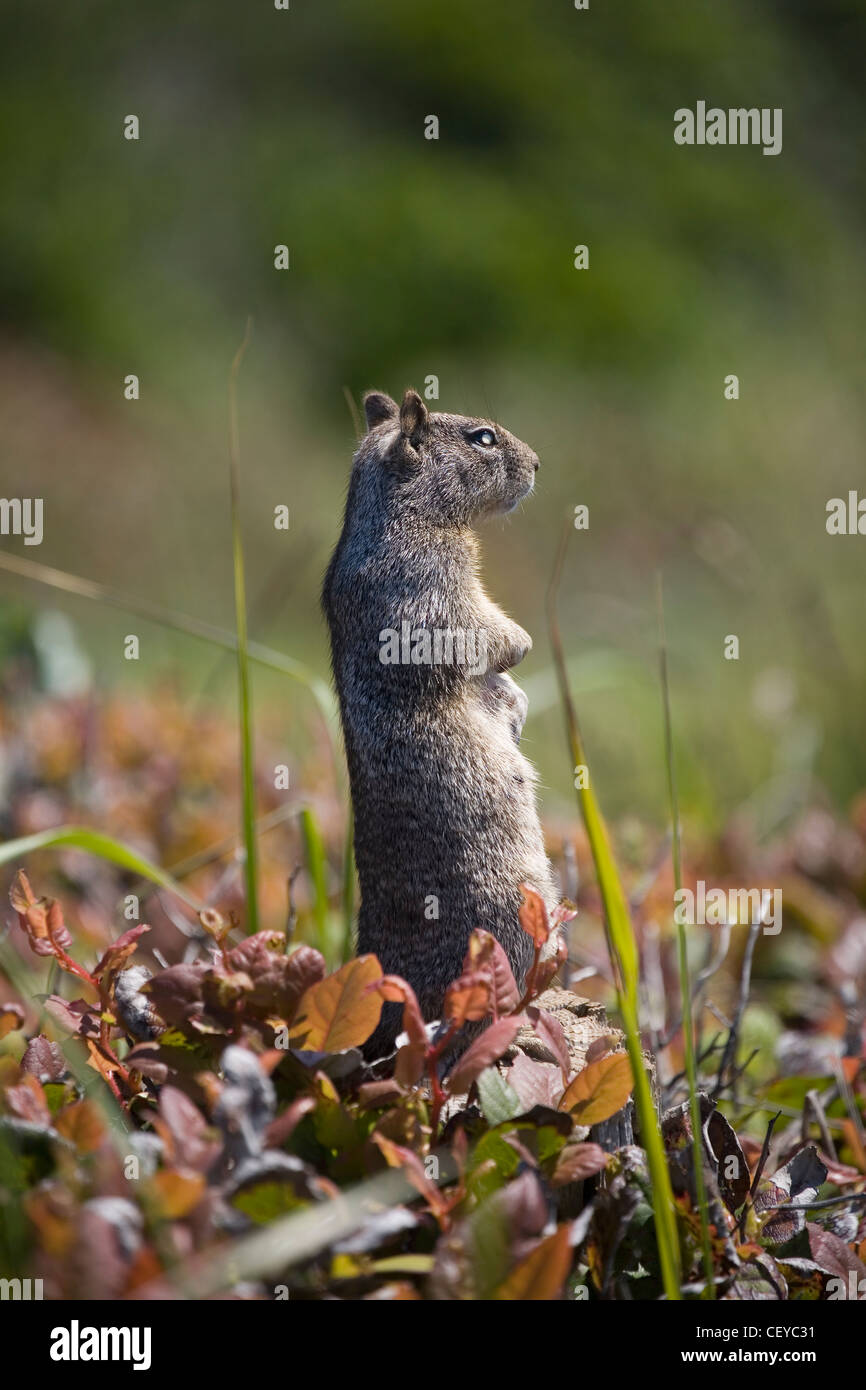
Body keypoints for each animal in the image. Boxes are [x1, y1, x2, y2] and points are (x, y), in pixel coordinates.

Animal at [322, 388, 557, 1058]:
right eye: (482, 438)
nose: (538, 464)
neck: (400, 509)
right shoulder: (432, 587)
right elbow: (484, 636)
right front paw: (521, 648)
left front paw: (516, 704)